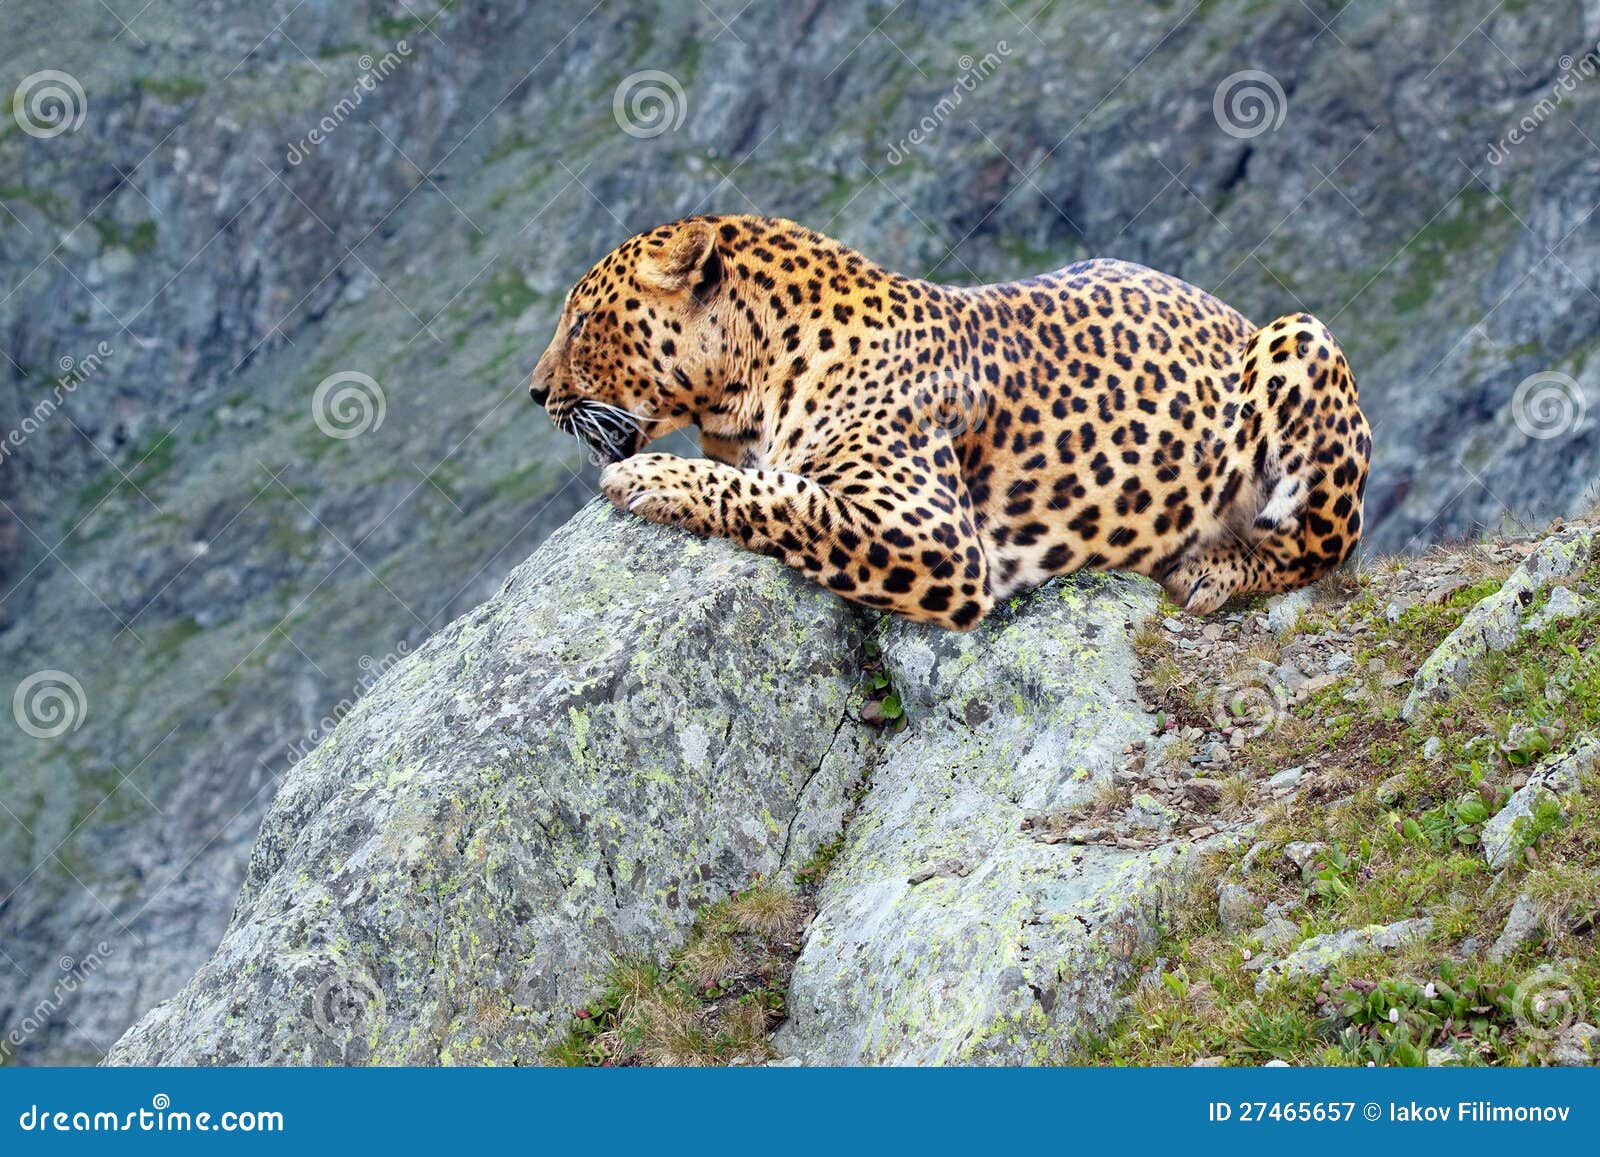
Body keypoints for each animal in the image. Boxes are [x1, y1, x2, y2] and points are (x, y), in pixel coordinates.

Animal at [528, 214, 1371, 631]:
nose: (534, 392)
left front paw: (652, 476)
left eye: (581, 322)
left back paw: (1210, 568)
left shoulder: (936, 538)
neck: (747, 386)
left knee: (1317, 547)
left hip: (1300, 335)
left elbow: (783, 497)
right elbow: (768, 484)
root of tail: (1231, 311)